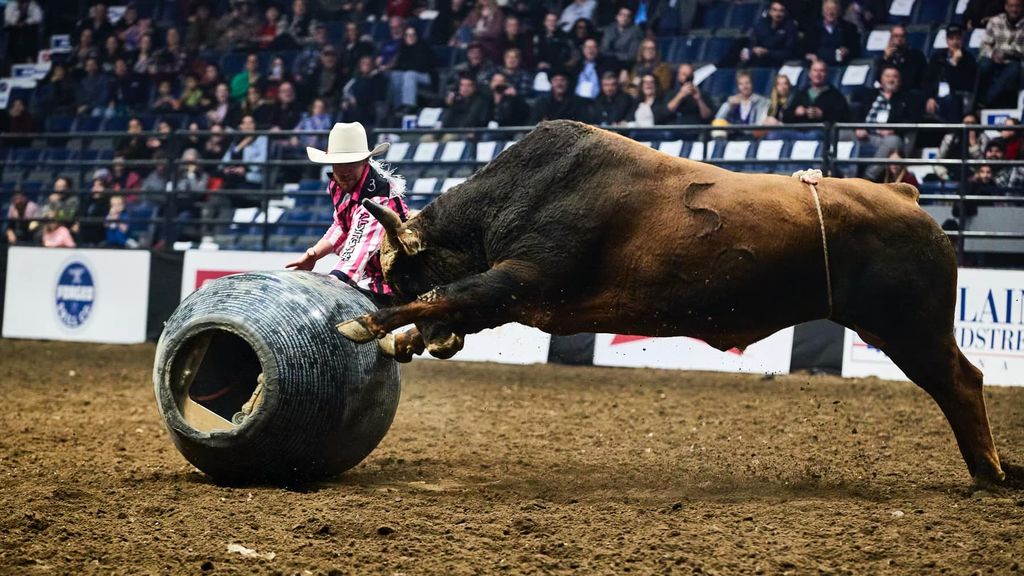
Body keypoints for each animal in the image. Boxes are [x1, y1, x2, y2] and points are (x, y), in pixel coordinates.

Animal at [336, 120, 1018, 487]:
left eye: (394, 272)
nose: (441, 348)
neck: (521, 193)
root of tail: (905, 197)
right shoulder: (515, 296)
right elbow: (453, 303)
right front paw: (403, 335)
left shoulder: (524, 279)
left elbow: (448, 295)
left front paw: (366, 322)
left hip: (911, 327)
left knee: (962, 381)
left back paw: (988, 469)